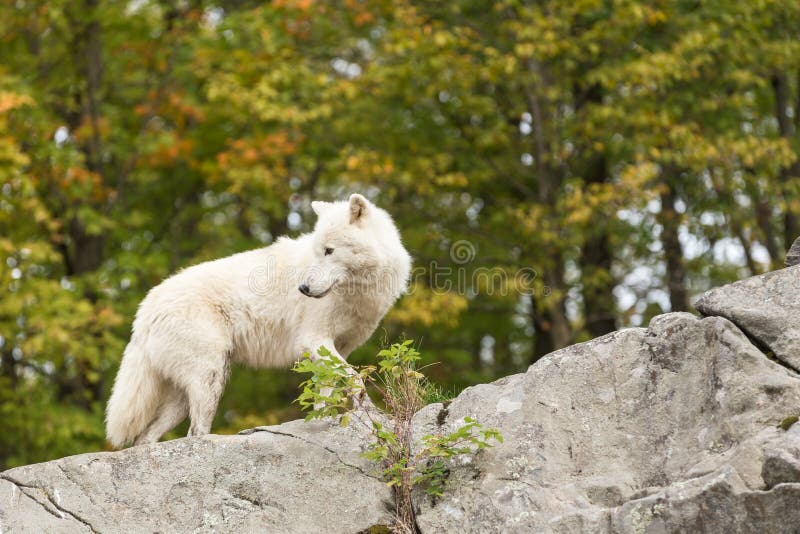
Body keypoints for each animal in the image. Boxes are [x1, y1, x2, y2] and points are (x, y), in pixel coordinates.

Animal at [106, 194, 411, 448]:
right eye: (318, 251)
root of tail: (146, 309)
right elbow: (355, 378)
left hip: (184, 395)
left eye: (329, 251)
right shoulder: (314, 340)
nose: (303, 288)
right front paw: (370, 412)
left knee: (146, 439)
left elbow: (325, 393)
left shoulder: (335, 348)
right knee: (195, 433)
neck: (360, 291)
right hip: (210, 378)